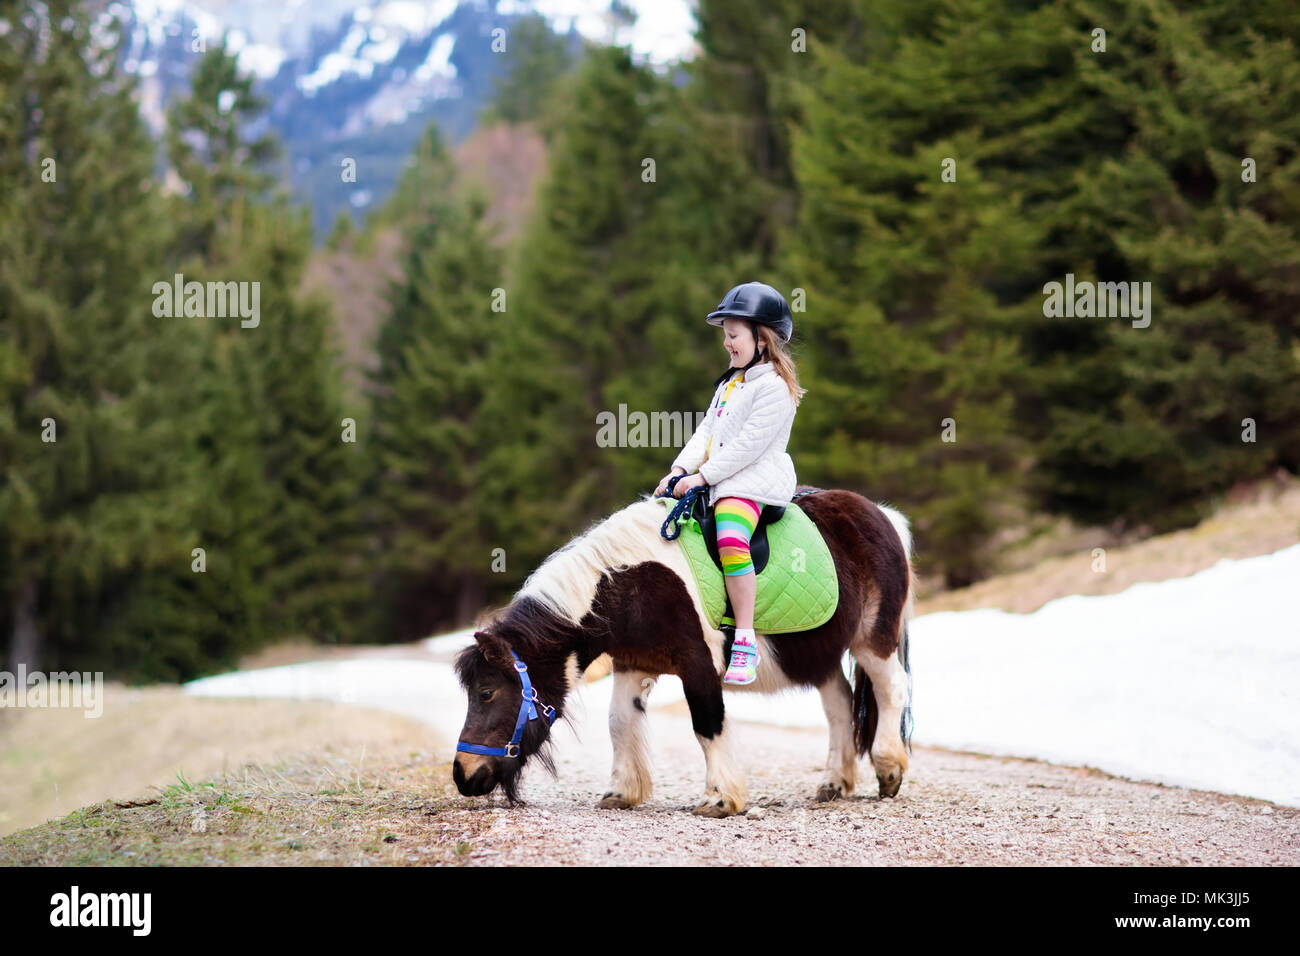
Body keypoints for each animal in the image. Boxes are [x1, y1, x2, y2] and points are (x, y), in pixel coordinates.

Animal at [452, 486, 914, 816]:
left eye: (487, 692)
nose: (462, 775)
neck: (630, 583)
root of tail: (884, 514)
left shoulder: (698, 665)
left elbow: (707, 724)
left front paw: (721, 799)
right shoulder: (632, 663)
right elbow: (619, 722)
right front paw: (621, 791)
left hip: (871, 639)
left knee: (892, 689)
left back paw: (889, 769)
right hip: (822, 653)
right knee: (839, 705)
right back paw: (834, 784)